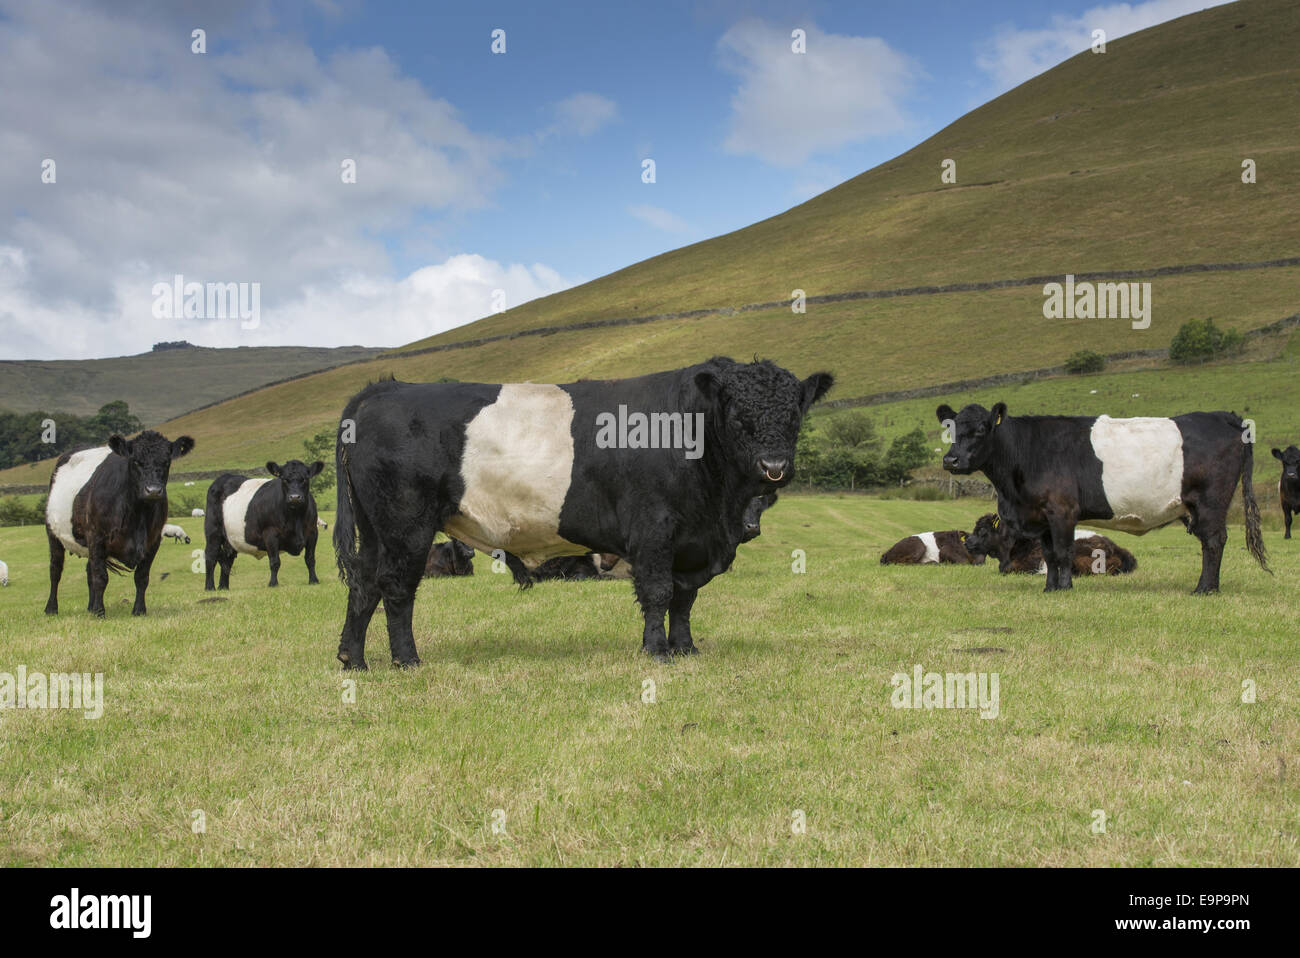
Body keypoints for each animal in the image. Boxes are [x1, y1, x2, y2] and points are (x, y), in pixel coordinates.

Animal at [43, 431, 195, 616]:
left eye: (166, 461)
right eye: (135, 461)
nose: (153, 491)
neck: (138, 515)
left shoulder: (153, 540)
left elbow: (142, 577)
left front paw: (139, 610)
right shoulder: (96, 536)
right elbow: (101, 577)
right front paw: (100, 612)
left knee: (89, 571)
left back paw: (90, 607)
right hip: (53, 533)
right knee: (55, 570)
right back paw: (52, 608)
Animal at [204, 460, 323, 589]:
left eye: (305, 479)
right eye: (284, 479)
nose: (294, 497)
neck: (295, 518)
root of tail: (224, 477)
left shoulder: (312, 532)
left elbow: (310, 559)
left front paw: (314, 580)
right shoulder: (270, 534)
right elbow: (275, 562)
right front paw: (273, 584)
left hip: (230, 539)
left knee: (226, 560)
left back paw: (223, 587)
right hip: (213, 531)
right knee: (211, 556)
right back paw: (210, 587)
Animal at [333, 358, 833, 667]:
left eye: (794, 417)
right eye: (739, 418)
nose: (774, 467)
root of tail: (385, 388)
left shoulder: (693, 543)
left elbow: (684, 597)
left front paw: (685, 648)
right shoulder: (654, 530)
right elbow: (658, 593)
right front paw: (657, 652)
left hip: (375, 528)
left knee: (365, 584)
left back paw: (353, 660)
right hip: (405, 525)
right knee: (396, 587)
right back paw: (406, 659)